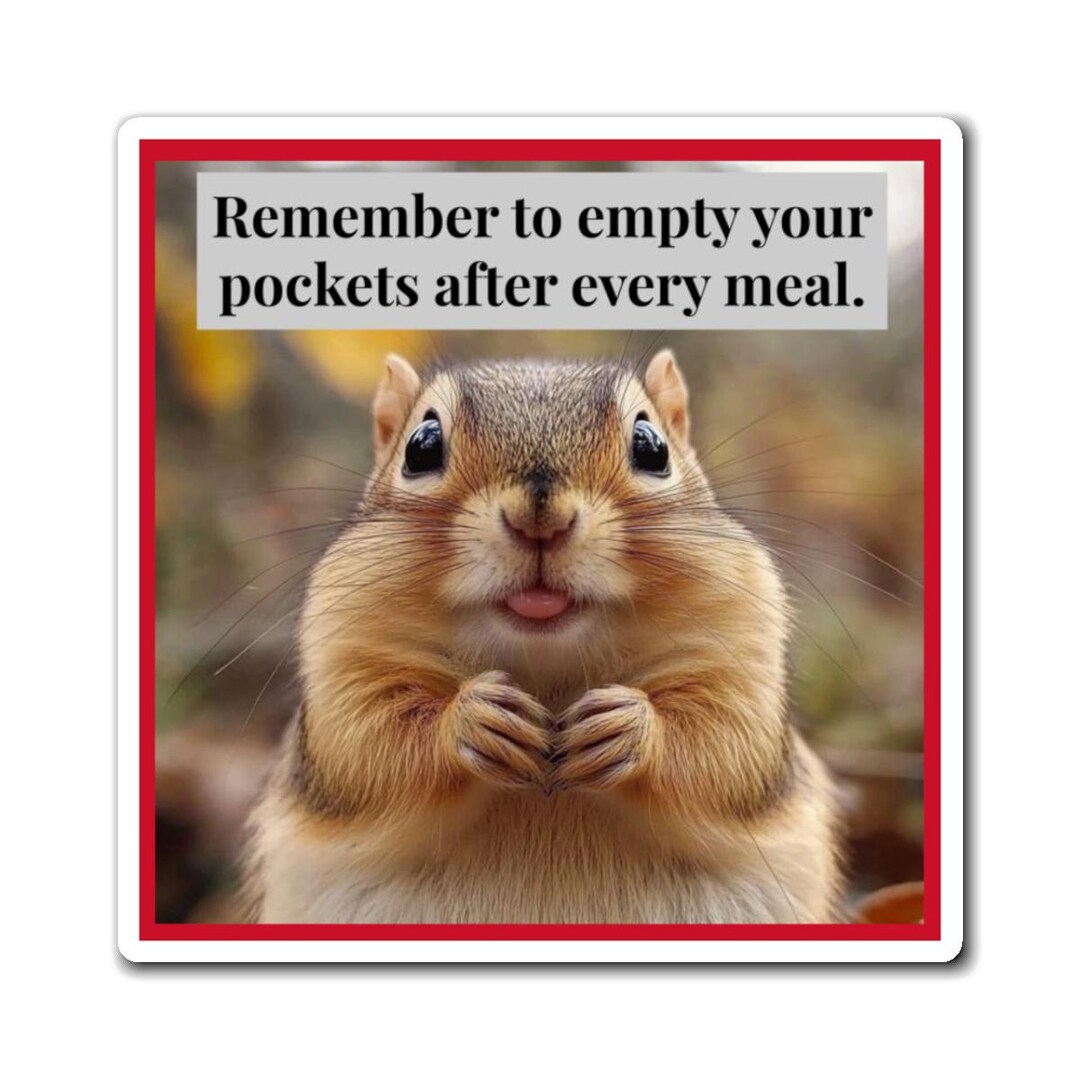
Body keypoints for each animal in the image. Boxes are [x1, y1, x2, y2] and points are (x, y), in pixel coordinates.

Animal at [245, 349, 841, 923]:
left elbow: (728, 743)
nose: (540, 522)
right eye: (421, 446)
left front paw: (628, 728)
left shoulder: (738, 649)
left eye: (652, 448)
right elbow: (363, 744)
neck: (547, 663)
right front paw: (472, 720)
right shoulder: (344, 652)